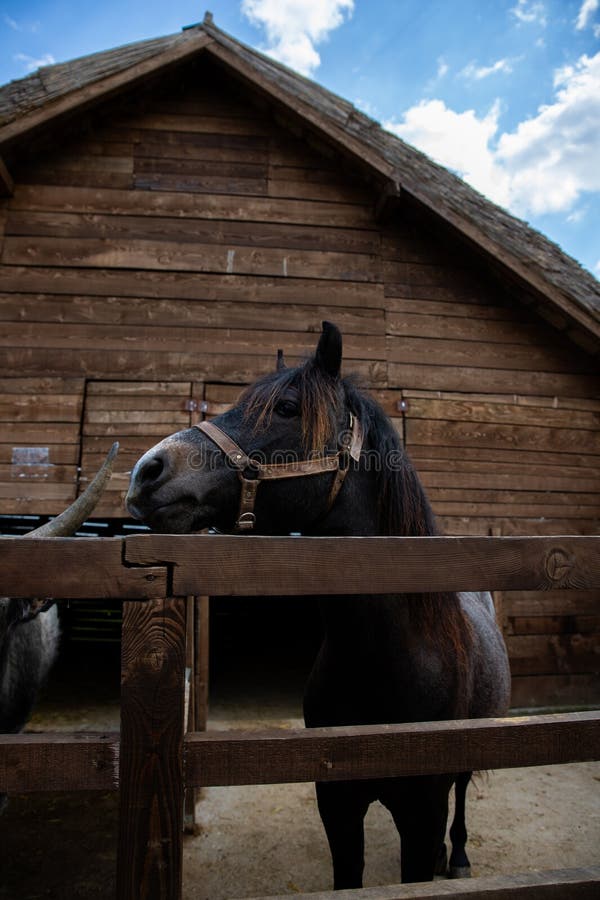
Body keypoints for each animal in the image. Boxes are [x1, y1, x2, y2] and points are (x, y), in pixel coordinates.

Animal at [126, 322, 510, 887]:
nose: (146, 471)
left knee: (462, 793)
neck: (382, 662)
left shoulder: (422, 811)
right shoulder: (337, 804)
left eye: (287, 408)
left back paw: (457, 854)